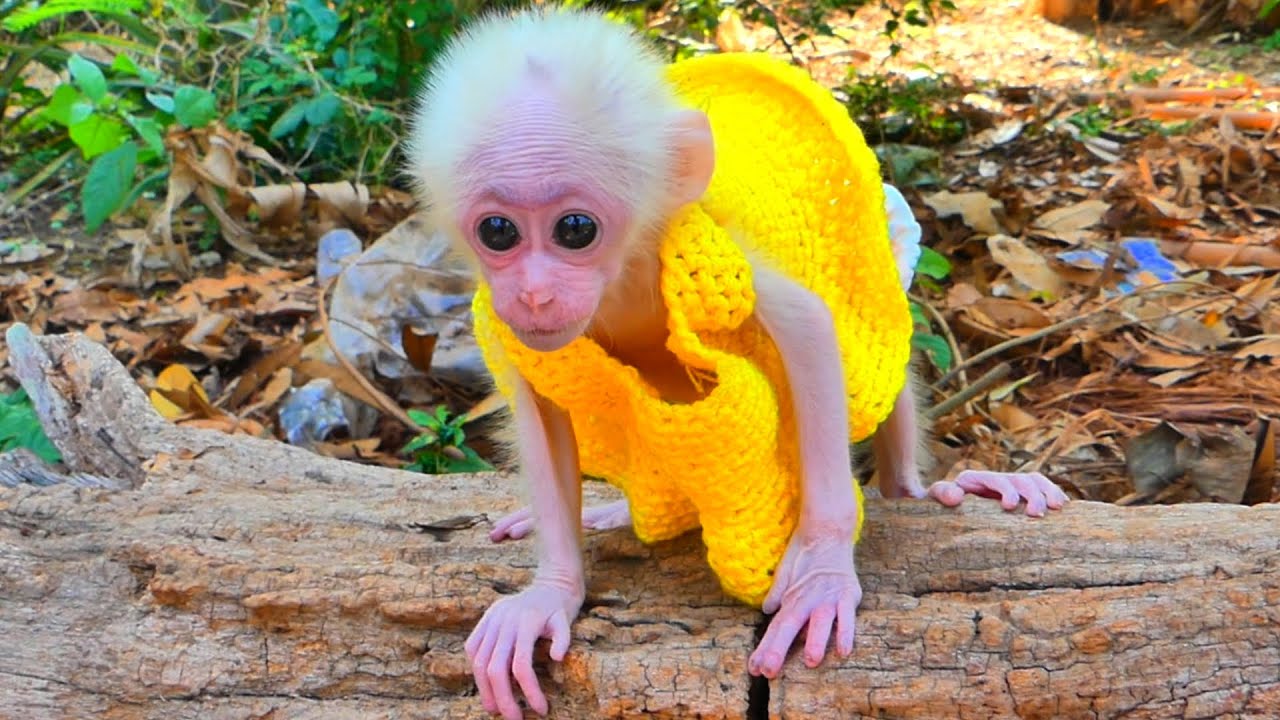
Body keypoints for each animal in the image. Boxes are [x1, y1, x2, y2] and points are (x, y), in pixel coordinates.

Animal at [406, 7, 1066, 719]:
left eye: (575, 230)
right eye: (497, 232)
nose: (532, 292)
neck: (622, 280)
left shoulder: (720, 261)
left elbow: (810, 332)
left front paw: (824, 568)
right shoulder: (510, 330)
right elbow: (541, 416)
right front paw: (551, 590)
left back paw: (939, 488)